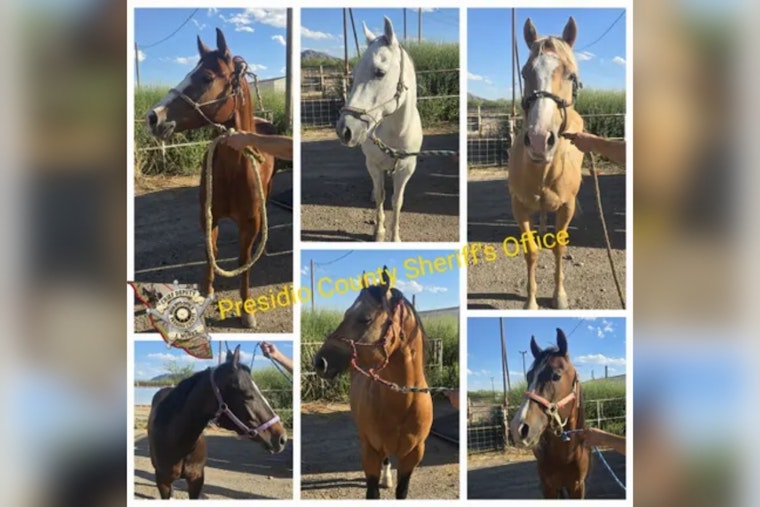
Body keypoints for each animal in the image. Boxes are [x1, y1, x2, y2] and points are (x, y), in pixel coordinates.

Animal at [145, 28, 285, 328]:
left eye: (207, 77)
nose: (153, 117)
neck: (233, 173)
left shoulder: (249, 224)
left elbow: (243, 260)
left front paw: (246, 311)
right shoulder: (207, 215)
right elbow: (211, 251)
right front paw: (206, 290)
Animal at [312, 268, 432, 499]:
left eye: (365, 318)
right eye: (346, 313)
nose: (320, 362)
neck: (404, 402)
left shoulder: (413, 455)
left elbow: (402, 491)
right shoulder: (370, 452)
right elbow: (372, 492)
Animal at [335, 17, 423, 242]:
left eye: (379, 72)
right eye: (353, 74)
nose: (345, 130)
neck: (396, 133)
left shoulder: (407, 168)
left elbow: (397, 200)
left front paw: (395, 237)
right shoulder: (373, 164)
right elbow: (381, 195)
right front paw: (379, 232)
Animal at [508, 17, 584, 309]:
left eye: (571, 75)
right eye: (524, 72)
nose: (540, 140)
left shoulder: (567, 205)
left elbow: (559, 248)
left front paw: (559, 296)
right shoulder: (519, 206)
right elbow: (531, 252)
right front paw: (531, 301)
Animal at [509, 328, 589, 498]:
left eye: (556, 376)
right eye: (528, 376)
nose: (518, 428)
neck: (565, 456)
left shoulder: (578, 487)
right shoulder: (548, 488)